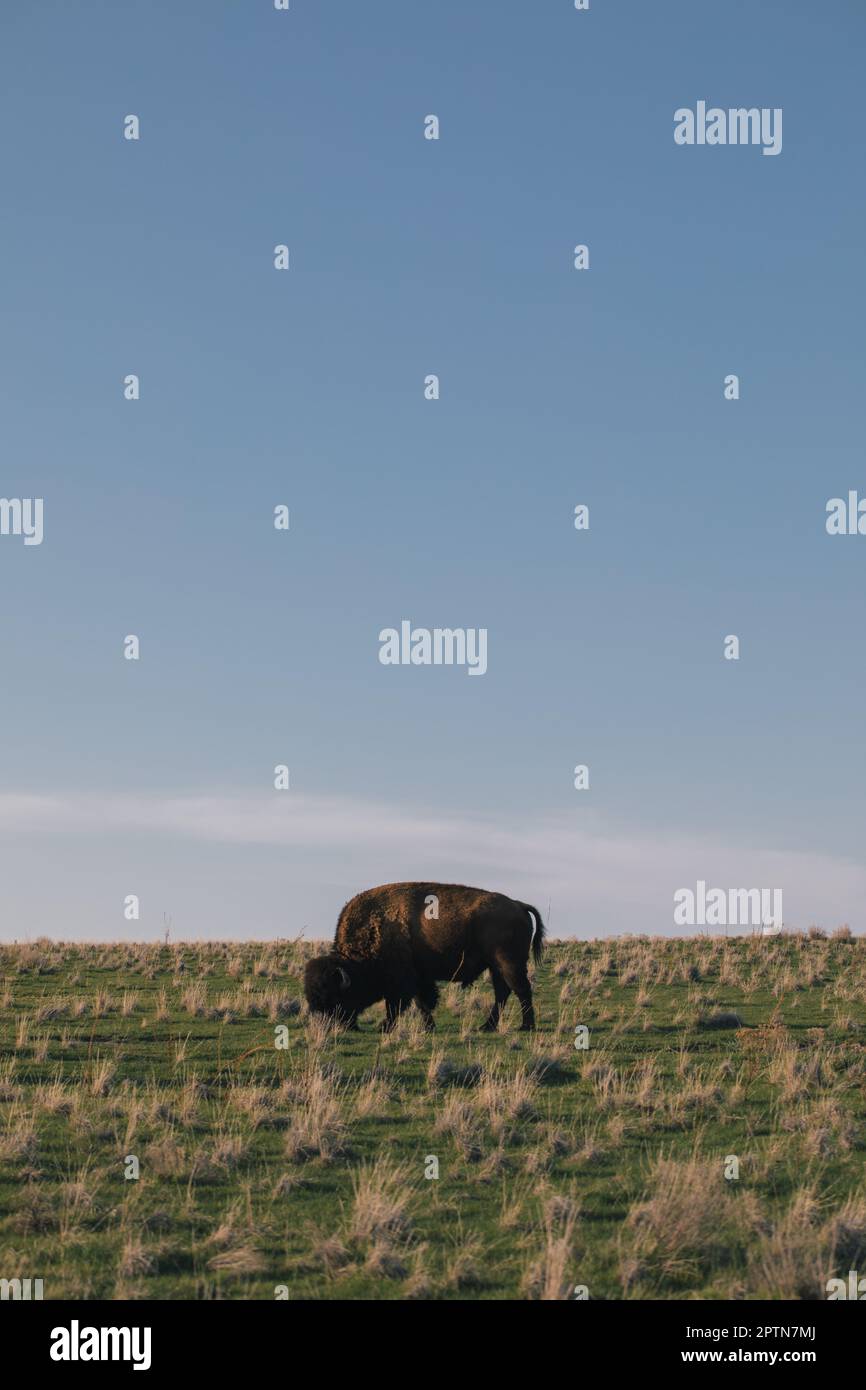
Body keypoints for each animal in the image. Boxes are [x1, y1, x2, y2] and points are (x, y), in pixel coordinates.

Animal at [304, 882, 545, 1031]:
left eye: (333, 996)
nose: (332, 1026)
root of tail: (518, 905)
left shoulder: (402, 980)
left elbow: (398, 1004)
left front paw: (386, 1026)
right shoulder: (419, 977)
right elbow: (422, 1002)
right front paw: (429, 1027)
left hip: (508, 963)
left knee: (521, 990)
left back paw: (526, 1026)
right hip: (495, 966)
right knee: (503, 993)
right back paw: (487, 1027)